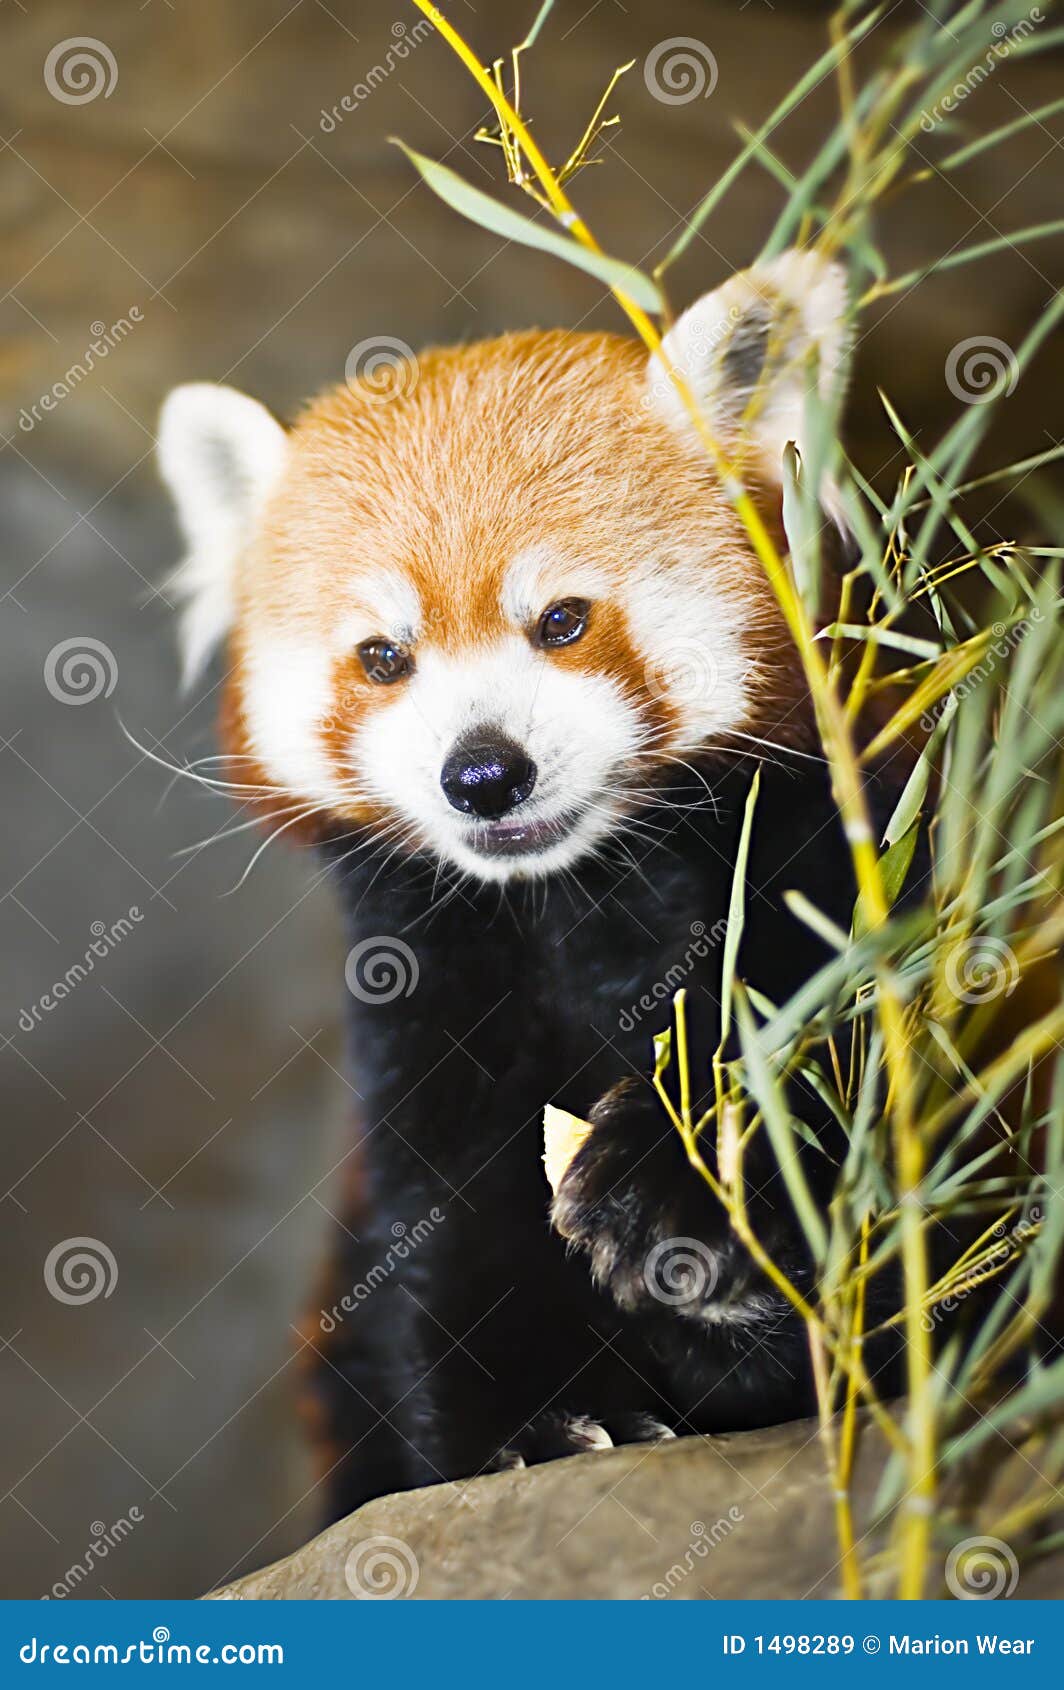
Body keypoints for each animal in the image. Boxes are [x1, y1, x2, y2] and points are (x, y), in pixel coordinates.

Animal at [157, 250, 911, 1521]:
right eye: (383, 657)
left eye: (560, 620)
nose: (482, 772)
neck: (572, 897)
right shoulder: (428, 988)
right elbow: (450, 1217)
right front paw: (540, 1422)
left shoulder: (822, 867)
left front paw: (674, 1201)